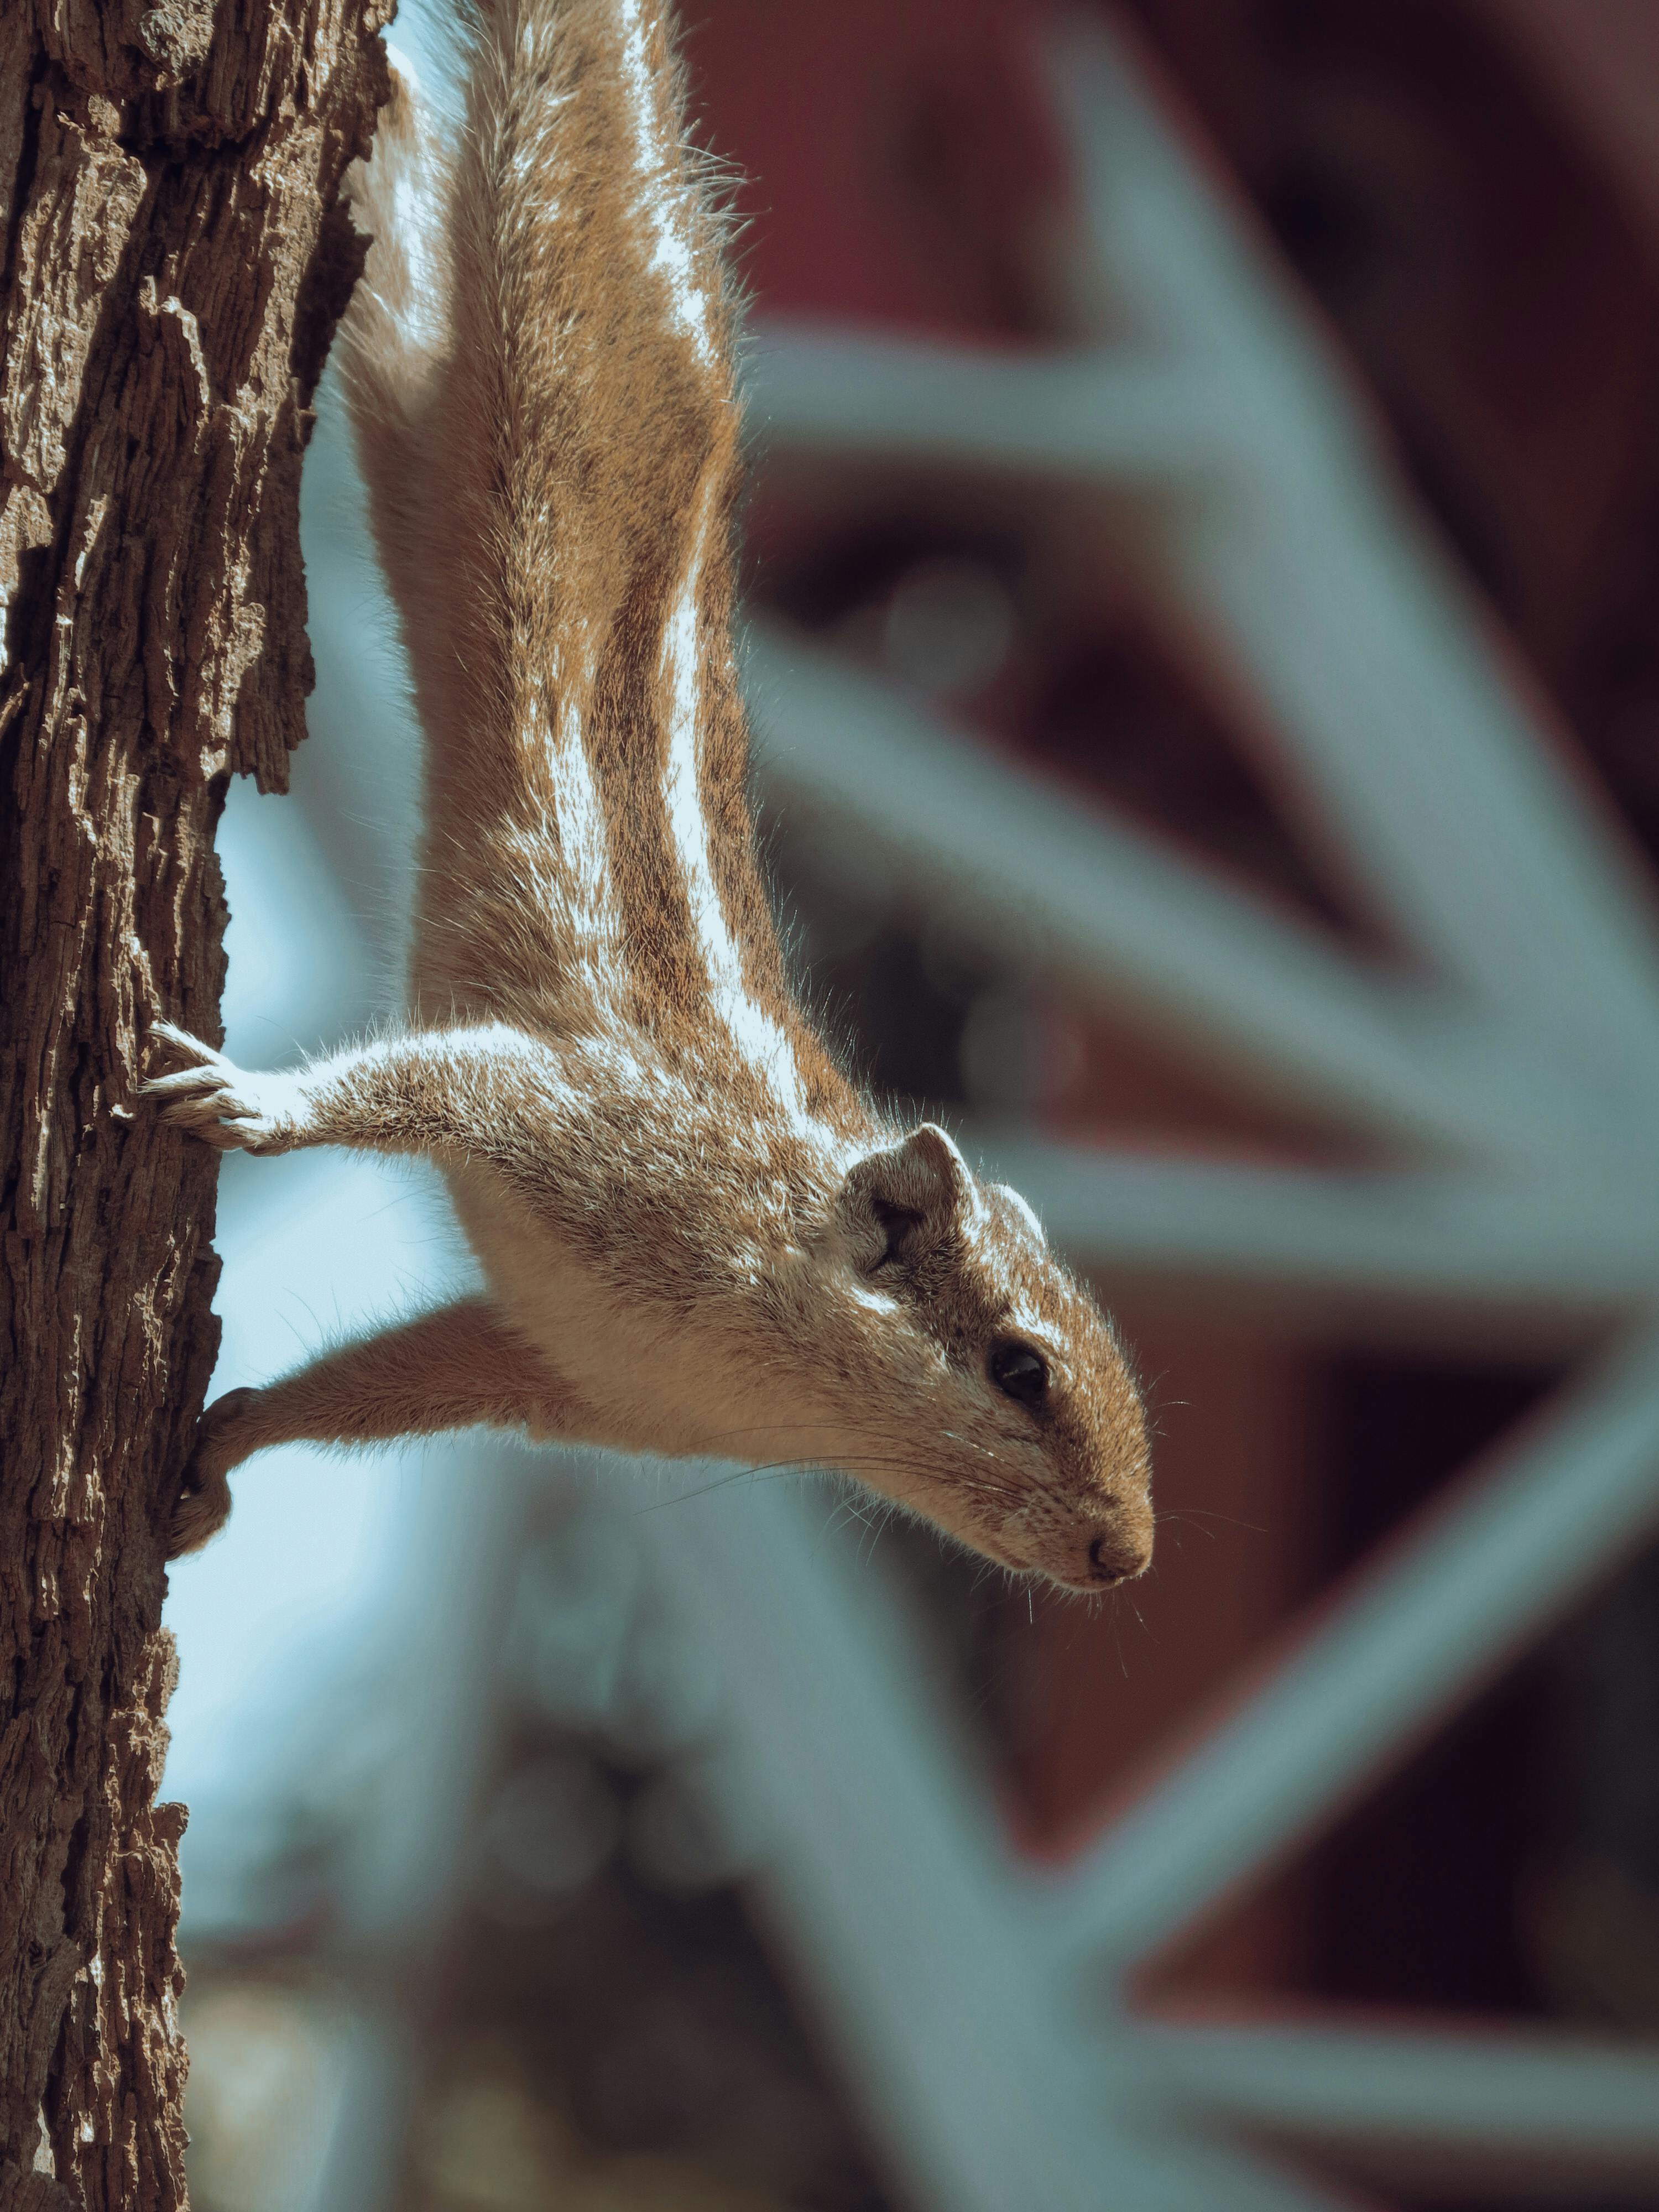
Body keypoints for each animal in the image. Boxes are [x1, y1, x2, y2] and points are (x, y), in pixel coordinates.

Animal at [143, 0, 1153, 1595]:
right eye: (1021, 1368)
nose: (1130, 1556)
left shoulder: (558, 1367)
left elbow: (371, 1386)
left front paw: (224, 1451)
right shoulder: (583, 1127)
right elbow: (428, 1079)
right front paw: (256, 1098)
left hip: (420, 378)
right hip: (505, 294)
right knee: (447, 166)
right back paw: (378, 113)